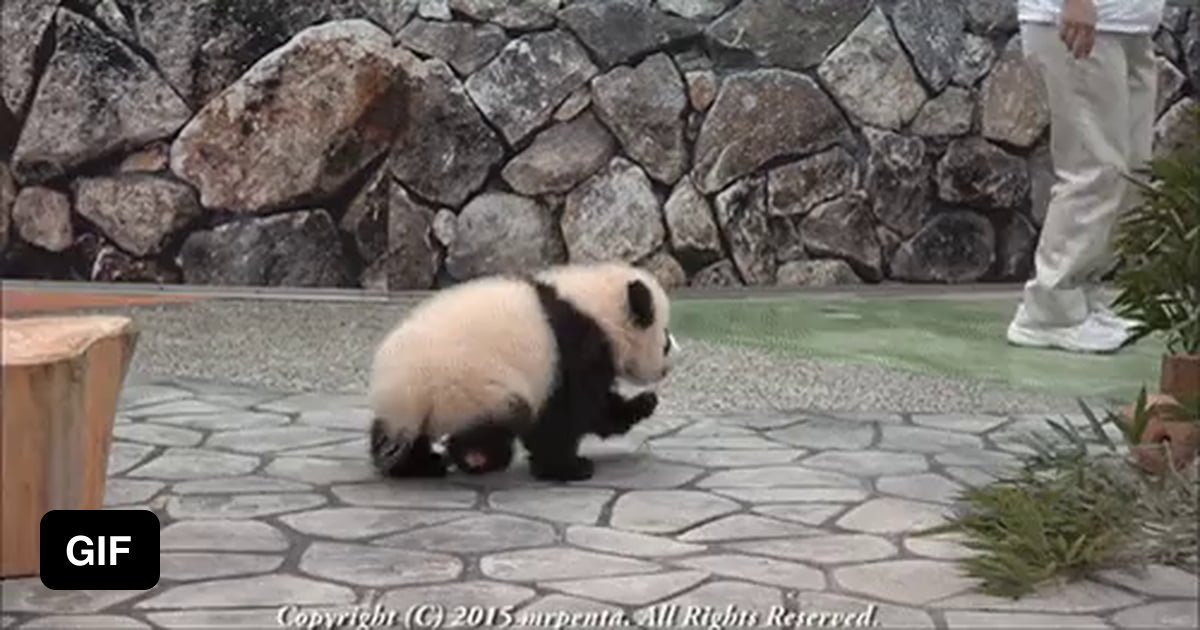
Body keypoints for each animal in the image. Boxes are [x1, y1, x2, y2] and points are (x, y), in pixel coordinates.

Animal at [366, 261, 678, 482]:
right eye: (664, 339)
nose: (674, 360)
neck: (597, 309)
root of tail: (408, 395)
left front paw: (644, 402)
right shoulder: (572, 346)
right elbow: (575, 410)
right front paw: (570, 468)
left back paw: (419, 465)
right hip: (471, 386)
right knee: (501, 419)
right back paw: (477, 458)